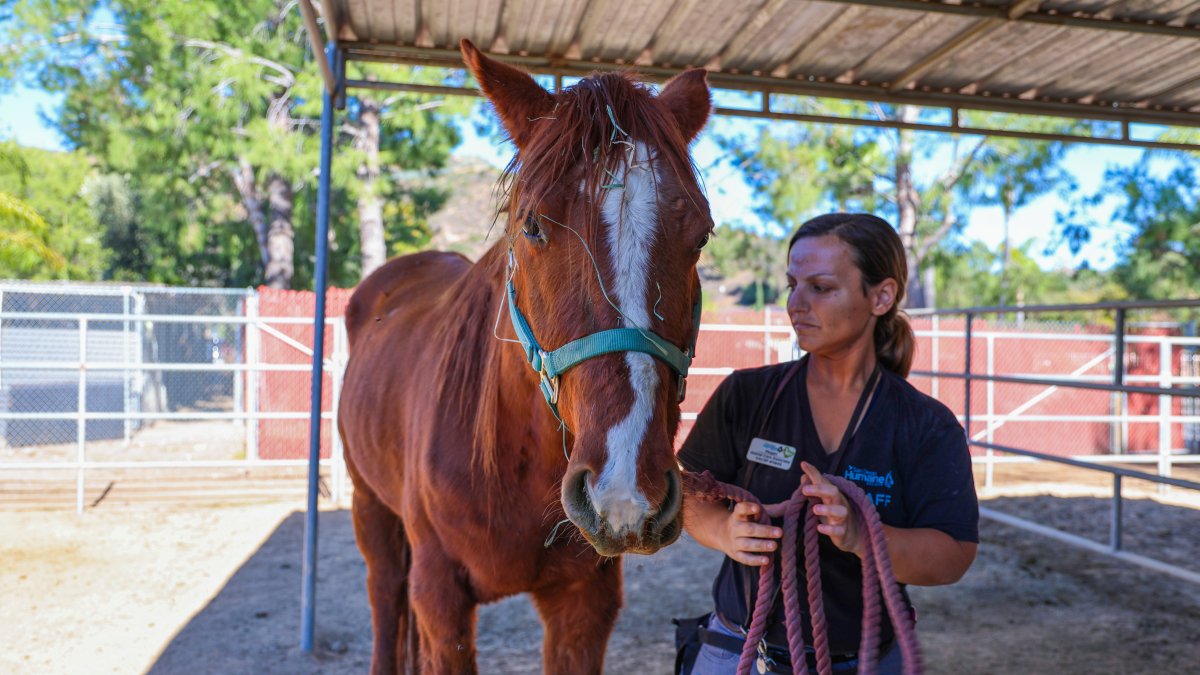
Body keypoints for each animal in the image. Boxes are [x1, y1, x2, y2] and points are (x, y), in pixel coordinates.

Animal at [337, 39, 714, 674]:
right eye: (533, 224)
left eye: (703, 236)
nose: (626, 490)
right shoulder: (441, 601)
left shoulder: (585, 604)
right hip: (372, 512)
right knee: (385, 600)